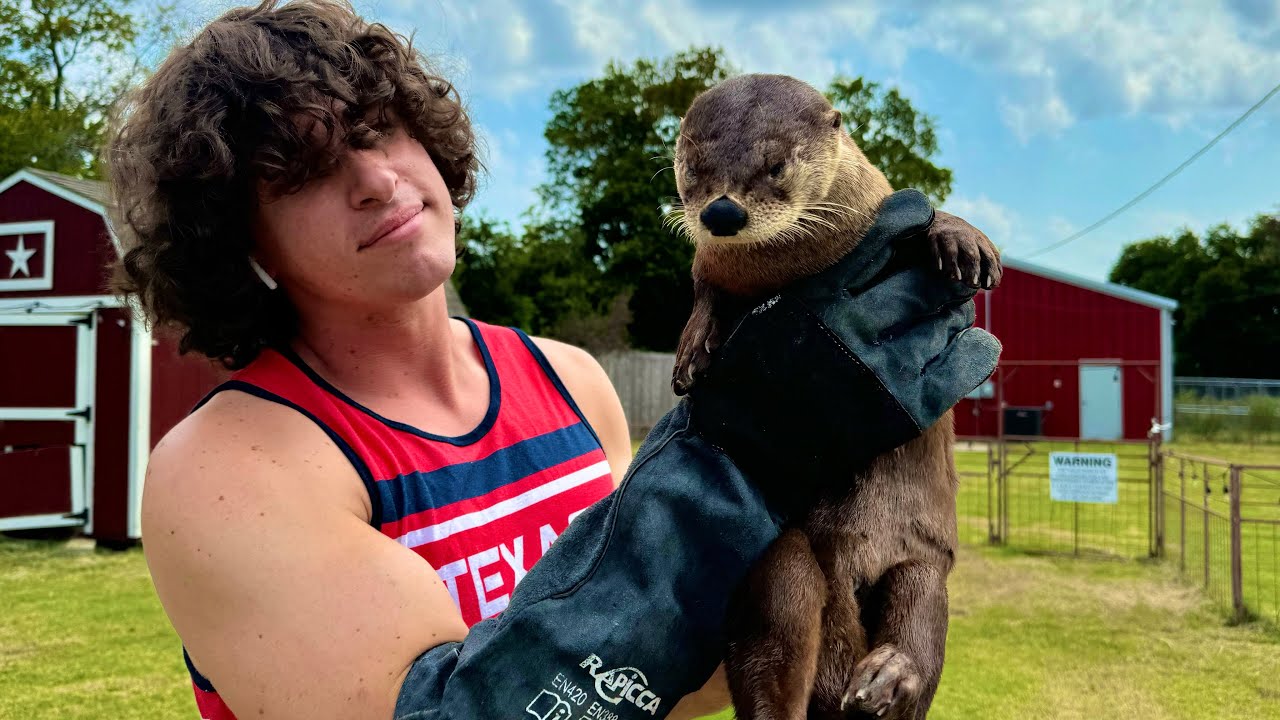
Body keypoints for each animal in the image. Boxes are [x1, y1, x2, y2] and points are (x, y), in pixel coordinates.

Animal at [669, 74, 1000, 720]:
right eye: (693, 166)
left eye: (775, 164)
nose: (722, 210)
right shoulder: (709, 265)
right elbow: (703, 292)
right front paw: (692, 346)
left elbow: (929, 217)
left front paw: (962, 239)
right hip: (786, 560)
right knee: (779, 621)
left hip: (925, 564)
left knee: (921, 612)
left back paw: (891, 675)